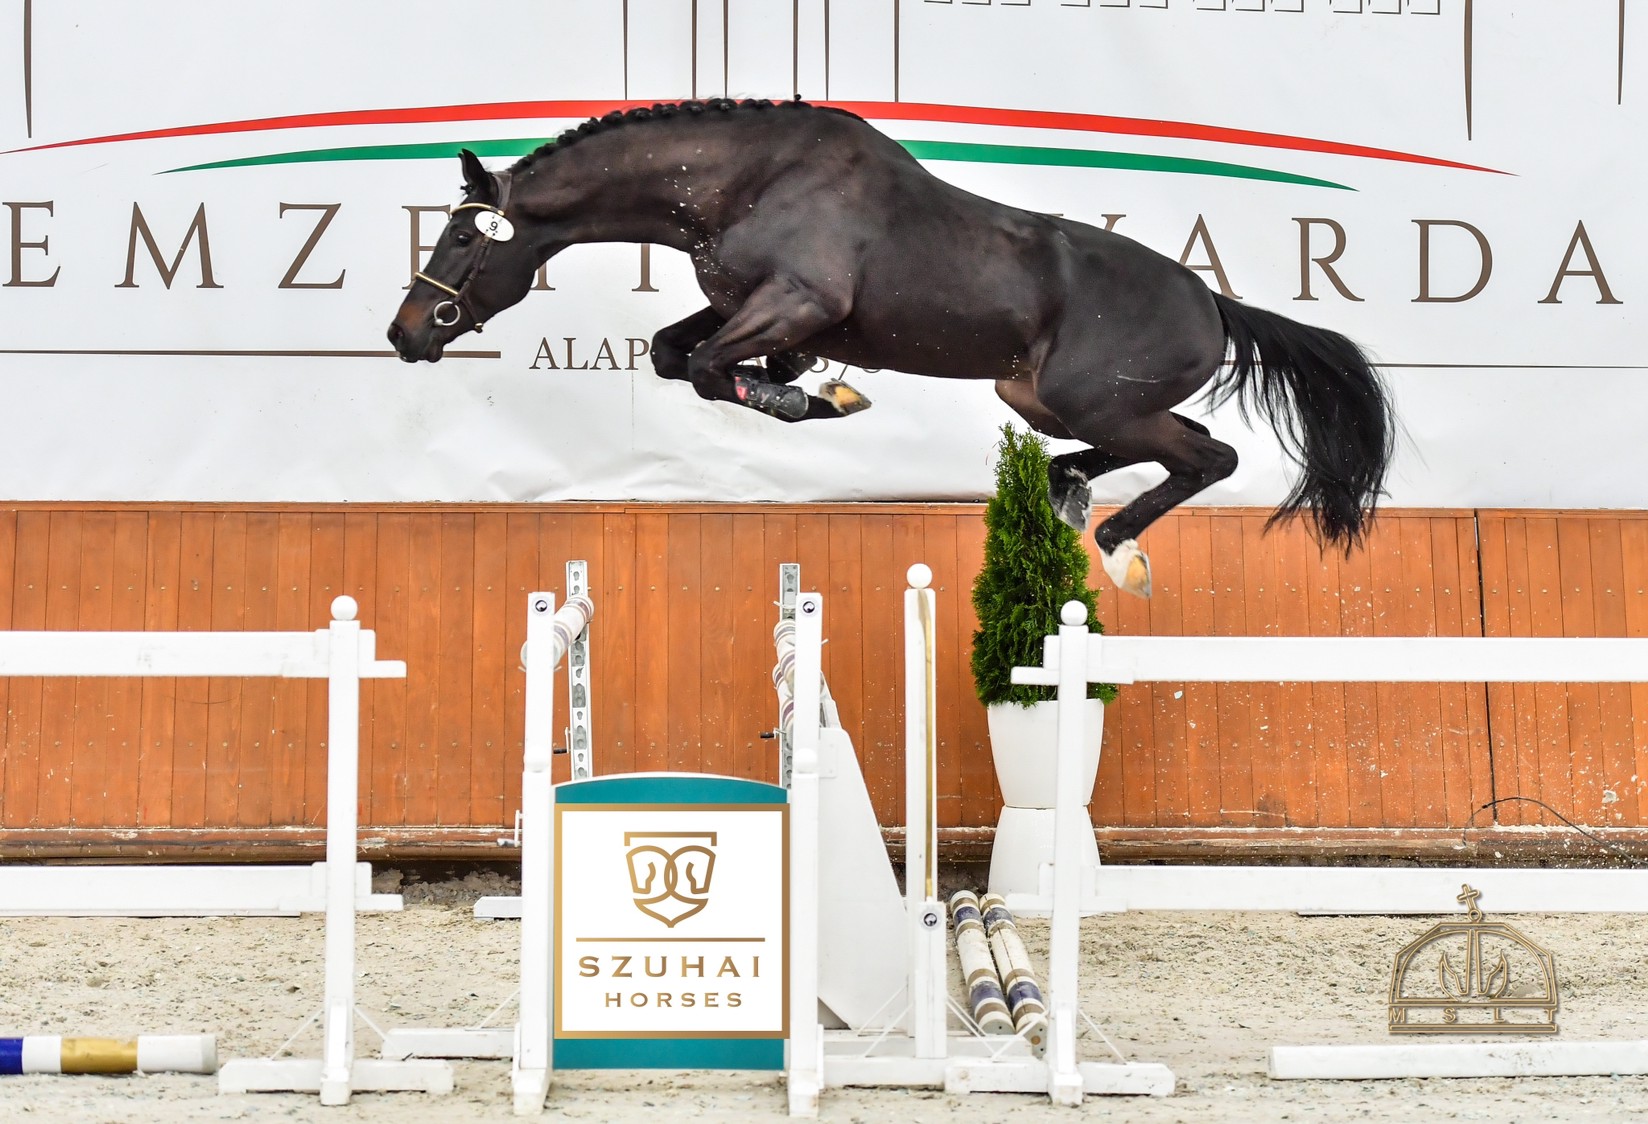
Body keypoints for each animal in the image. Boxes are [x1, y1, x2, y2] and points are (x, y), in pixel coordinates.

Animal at [387, 97, 1395, 598]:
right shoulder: (750, 307)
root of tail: (1213, 301)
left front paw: (813, 398)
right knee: (1164, 447)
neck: (744, 180)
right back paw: (1070, 490)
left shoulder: (796, 302)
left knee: (1209, 456)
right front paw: (810, 392)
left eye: (464, 237)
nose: (404, 332)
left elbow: (711, 370)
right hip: (1038, 397)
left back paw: (1115, 544)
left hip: (1091, 395)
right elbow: (679, 356)